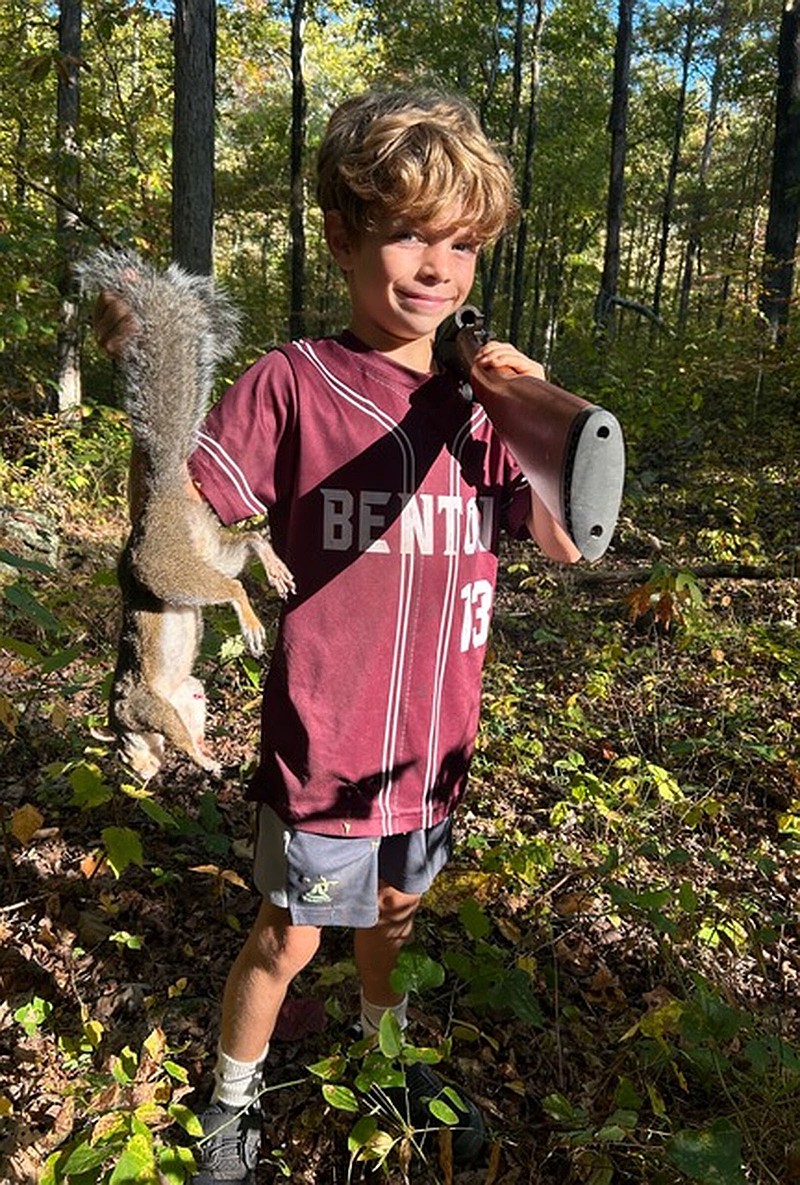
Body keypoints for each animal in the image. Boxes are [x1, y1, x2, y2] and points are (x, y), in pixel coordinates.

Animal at [78, 249, 295, 779]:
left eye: (122, 751)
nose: (138, 778)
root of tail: (162, 495)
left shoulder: (145, 703)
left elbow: (173, 729)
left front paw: (197, 758)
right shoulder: (188, 691)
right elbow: (192, 713)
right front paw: (209, 755)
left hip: (164, 566)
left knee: (230, 586)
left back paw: (251, 621)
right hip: (206, 544)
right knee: (249, 542)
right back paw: (274, 568)